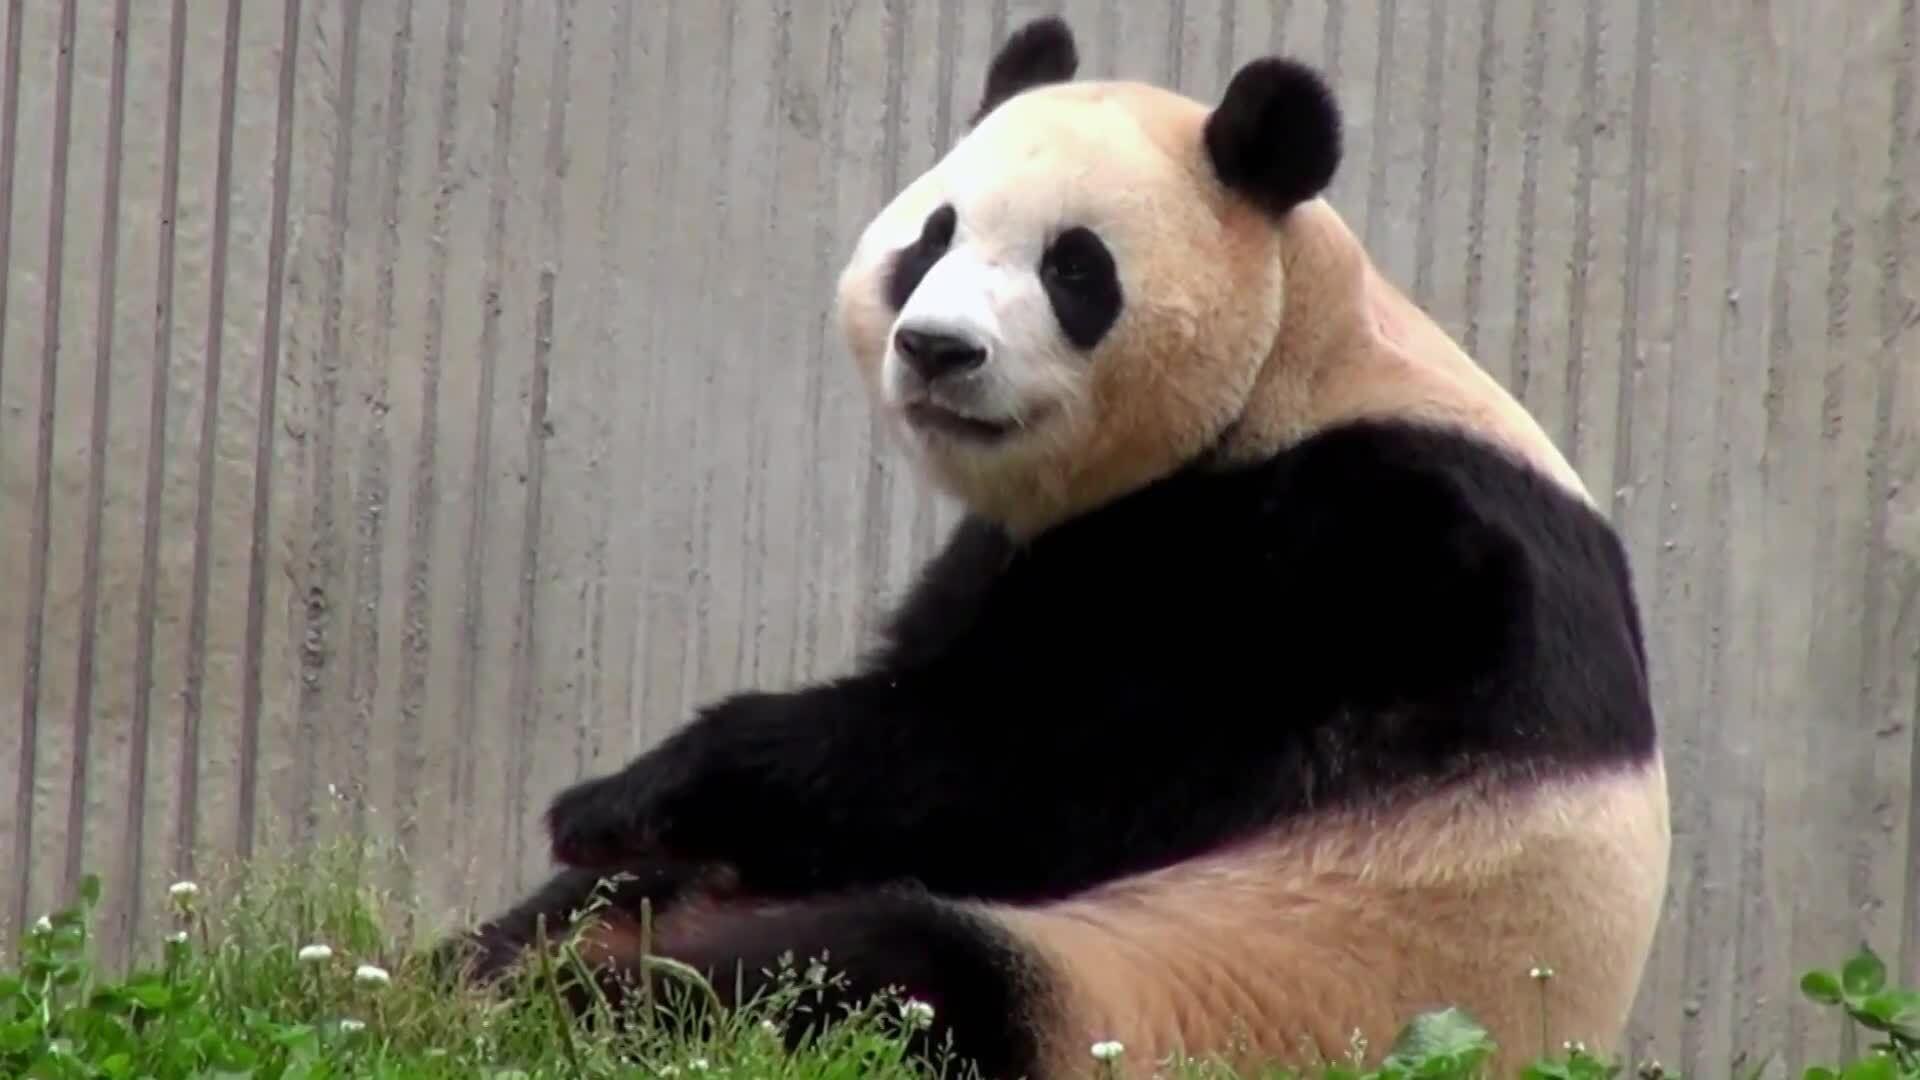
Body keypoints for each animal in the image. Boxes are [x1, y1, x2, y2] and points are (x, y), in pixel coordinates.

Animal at [450, 17, 1672, 1080]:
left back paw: (585, 998)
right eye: (932, 237)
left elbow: (1028, 765)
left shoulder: (1369, 556)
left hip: (1175, 994)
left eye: (1073, 268)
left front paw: (624, 795)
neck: (1299, 364)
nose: (937, 350)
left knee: (888, 977)